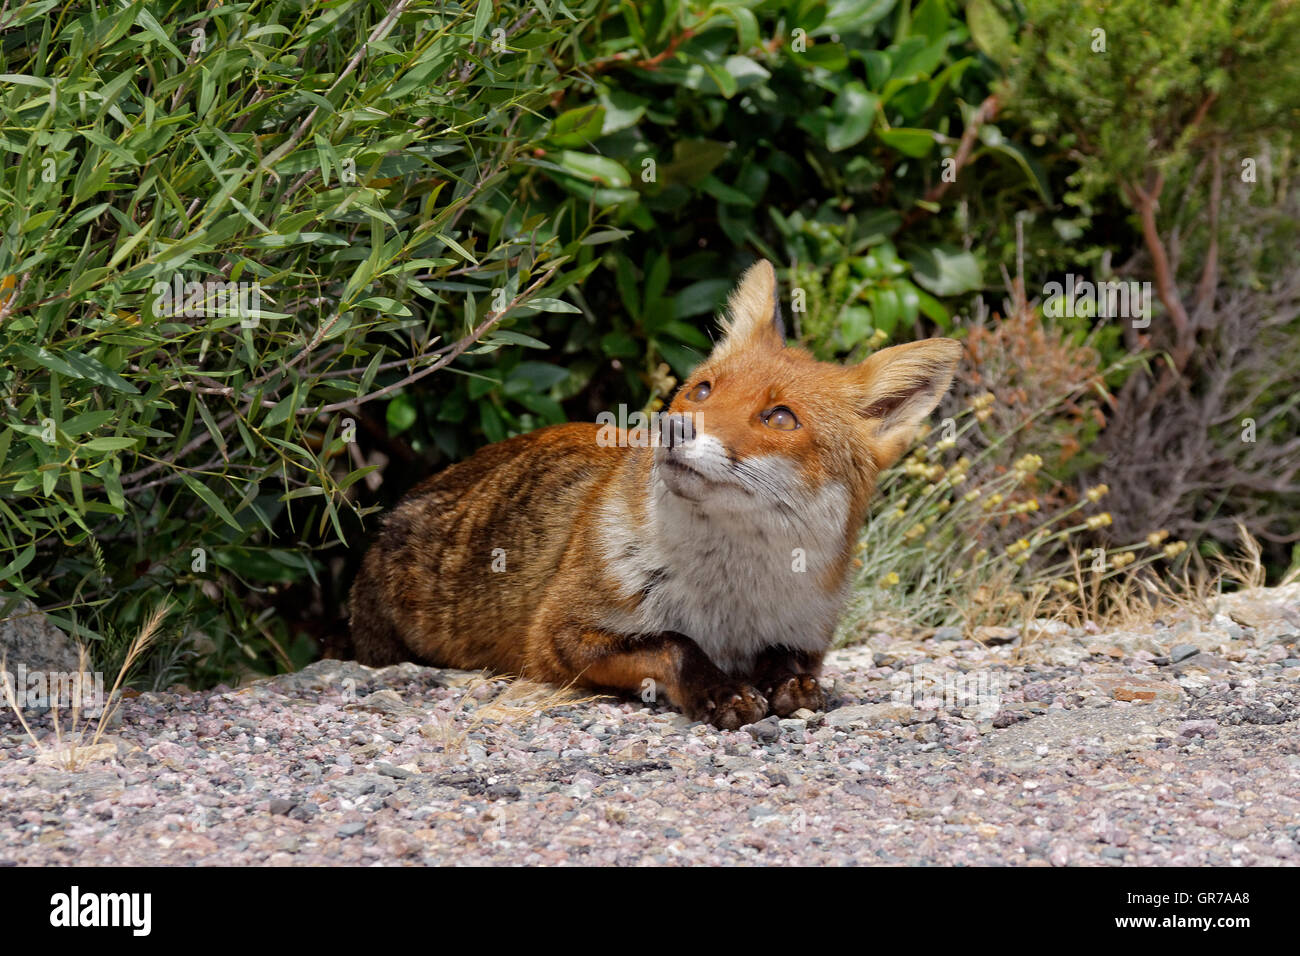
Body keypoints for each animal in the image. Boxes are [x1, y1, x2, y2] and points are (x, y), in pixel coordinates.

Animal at [348, 260, 961, 729]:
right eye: (703, 391)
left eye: (780, 417)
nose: (675, 428)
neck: (729, 601)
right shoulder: (555, 638)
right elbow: (673, 643)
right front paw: (721, 691)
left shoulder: (806, 637)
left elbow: (789, 665)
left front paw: (791, 688)